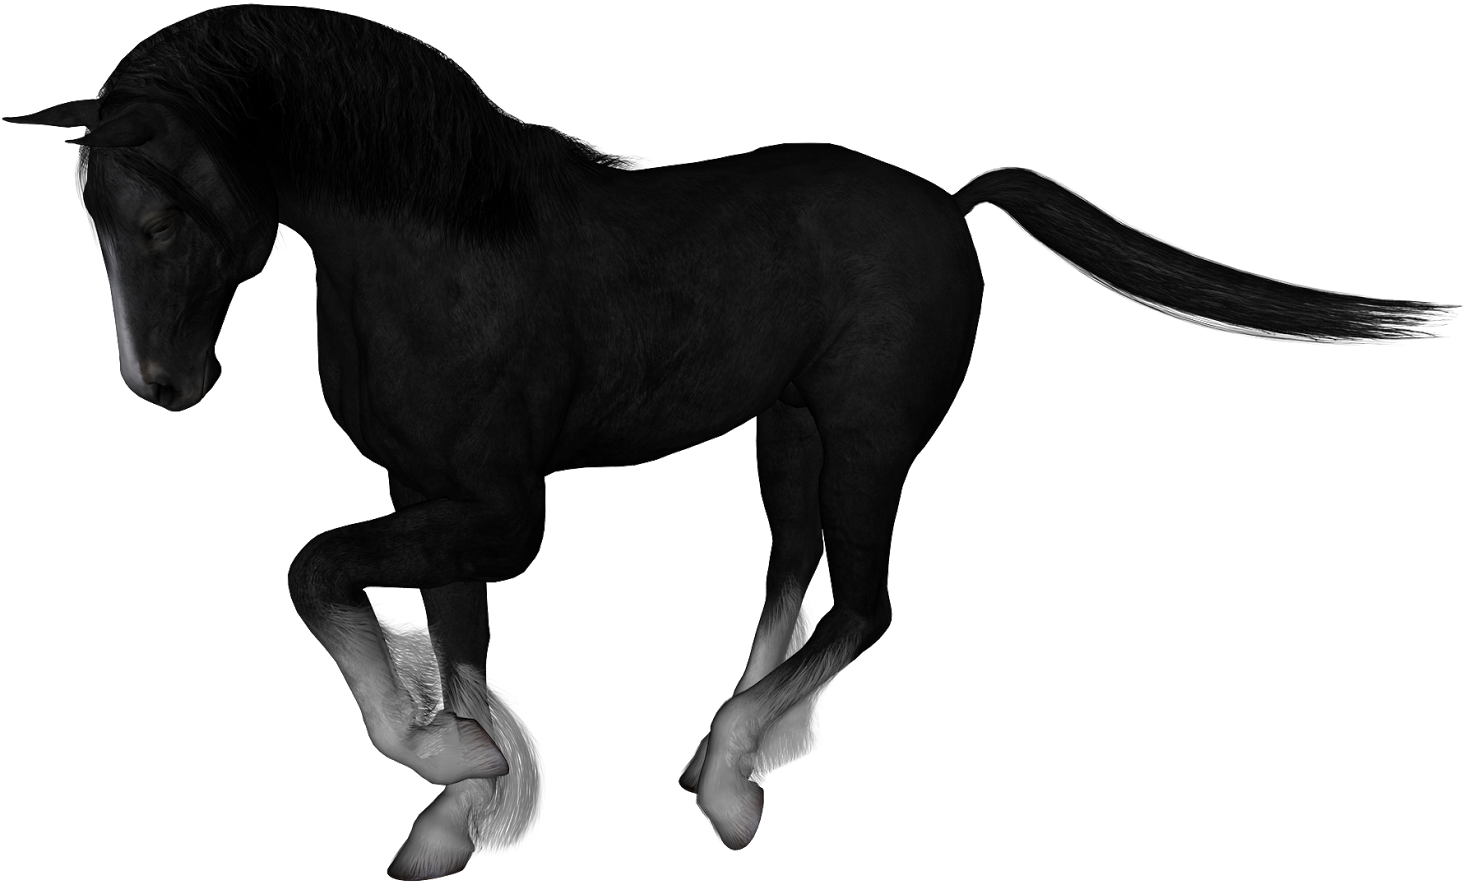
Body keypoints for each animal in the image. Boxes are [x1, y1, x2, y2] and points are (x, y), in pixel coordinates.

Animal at [7, 5, 1462, 880]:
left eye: (170, 210)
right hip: (789, 430)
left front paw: (458, 766)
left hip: (868, 437)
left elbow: (315, 570)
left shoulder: (497, 509)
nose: (163, 385)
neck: (439, 251)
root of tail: (950, 201)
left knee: (863, 601)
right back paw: (739, 757)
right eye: (89, 215)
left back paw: (726, 786)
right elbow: (454, 640)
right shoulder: (429, 492)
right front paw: (468, 810)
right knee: (792, 578)